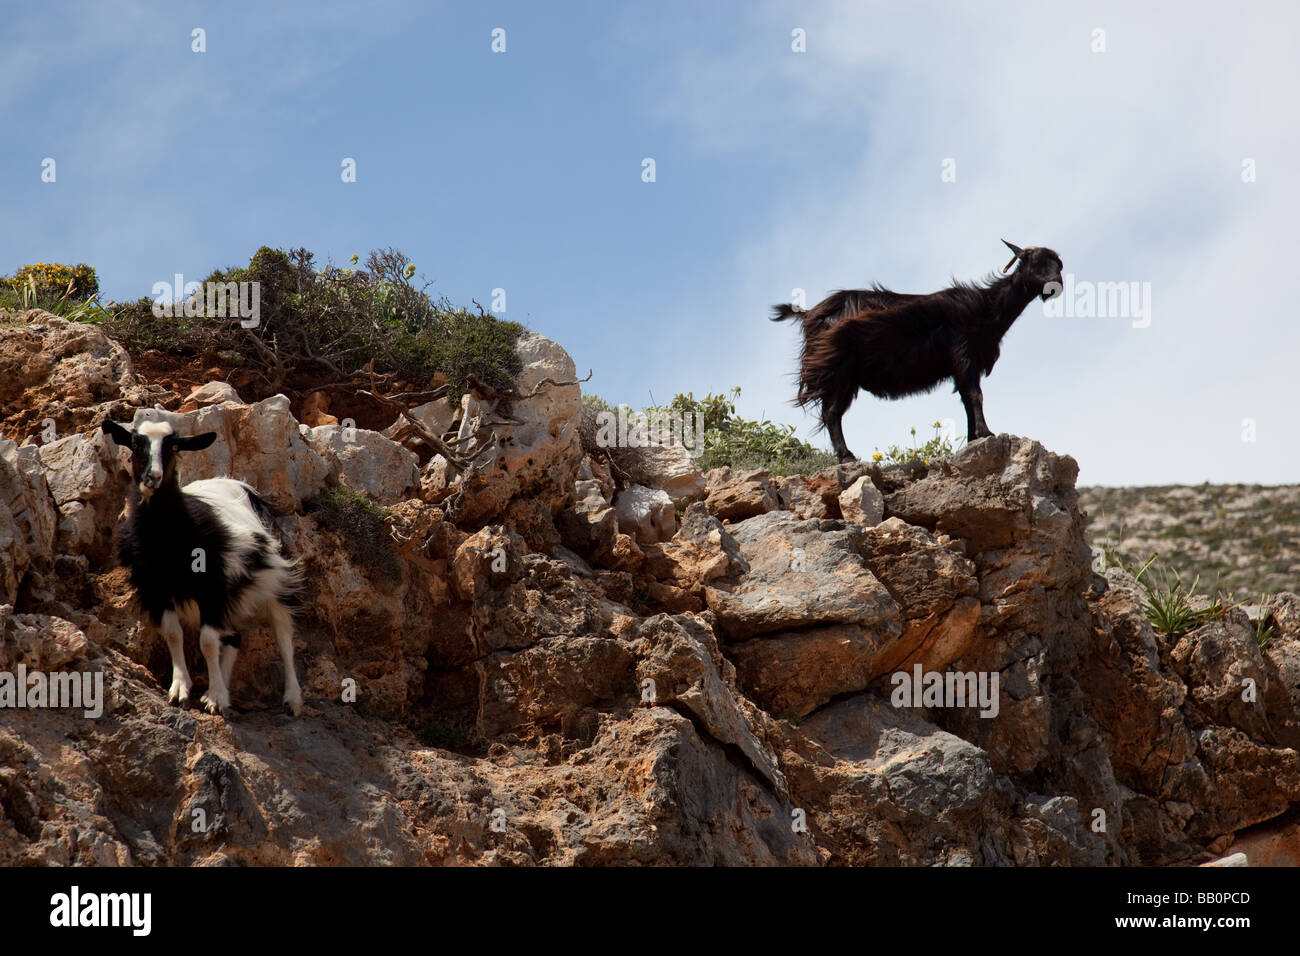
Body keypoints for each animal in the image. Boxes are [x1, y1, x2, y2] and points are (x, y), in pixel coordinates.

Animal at [101, 418, 304, 716]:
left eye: (174, 446)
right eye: (136, 444)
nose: (154, 477)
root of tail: (236, 484)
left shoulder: (214, 587)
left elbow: (207, 642)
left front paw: (216, 697)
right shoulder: (155, 590)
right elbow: (174, 634)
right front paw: (182, 689)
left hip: (274, 581)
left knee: (284, 635)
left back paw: (293, 699)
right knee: (233, 638)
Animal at [771, 240, 1063, 461]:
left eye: (1059, 265)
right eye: (1035, 263)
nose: (1055, 285)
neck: (987, 307)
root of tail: (811, 314)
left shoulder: (963, 364)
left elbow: (967, 399)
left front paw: (973, 438)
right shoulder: (963, 352)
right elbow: (975, 395)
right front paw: (986, 433)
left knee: (832, 412)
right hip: (837, 368)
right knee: (831, 413)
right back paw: (847, 456)